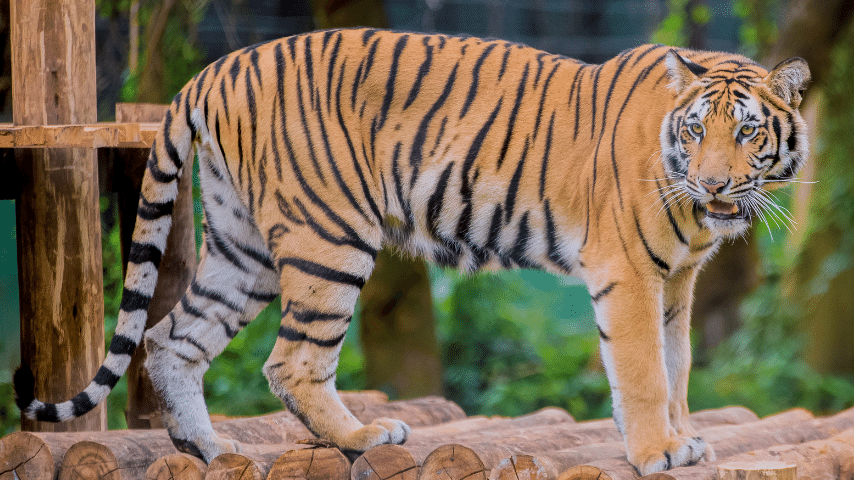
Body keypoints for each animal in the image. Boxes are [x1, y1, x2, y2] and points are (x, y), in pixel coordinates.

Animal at [15, 28, 810, 474]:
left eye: (745, 132)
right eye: (698, 129)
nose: (712, 182)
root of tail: (214, 69)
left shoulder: (676, 282)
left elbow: (677, 368)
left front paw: (685, 439)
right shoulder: (631, 274)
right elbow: (644, 371)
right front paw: (656, 452)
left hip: (241, 250)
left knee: (172, 338)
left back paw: (215, 453)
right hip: (328, 239)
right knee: (291, 362)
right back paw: (365, 435)